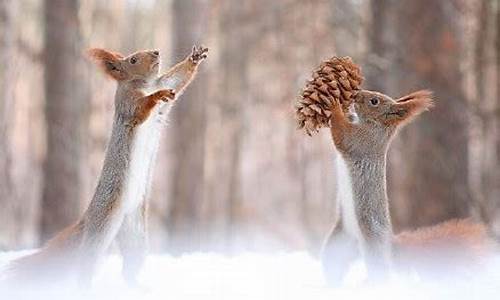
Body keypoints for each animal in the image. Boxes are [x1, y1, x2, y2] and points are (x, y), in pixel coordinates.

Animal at [0, 45, 208, 288]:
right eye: (133, 60)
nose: (156, 52)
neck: (145, 84)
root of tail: (87, 218)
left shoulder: (164, 85)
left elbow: (178, 79)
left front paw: (195, 58)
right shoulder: (127, 104)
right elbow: (139, 109)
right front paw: (155, 97)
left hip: (136, 235)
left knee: (130, 266)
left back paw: (137, 287)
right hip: (101, 229)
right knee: (86, 264)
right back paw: (85, 289)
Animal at [322, 89, 494, 286]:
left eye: (374, 101)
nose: (356, 94)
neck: (377, 125)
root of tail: (391, 245)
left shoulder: (363, 140)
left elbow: (342, 136)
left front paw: (334, 106)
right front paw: (345, 109)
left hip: (373, 245)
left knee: (381, 273)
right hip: (337, 244)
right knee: (333, 266)